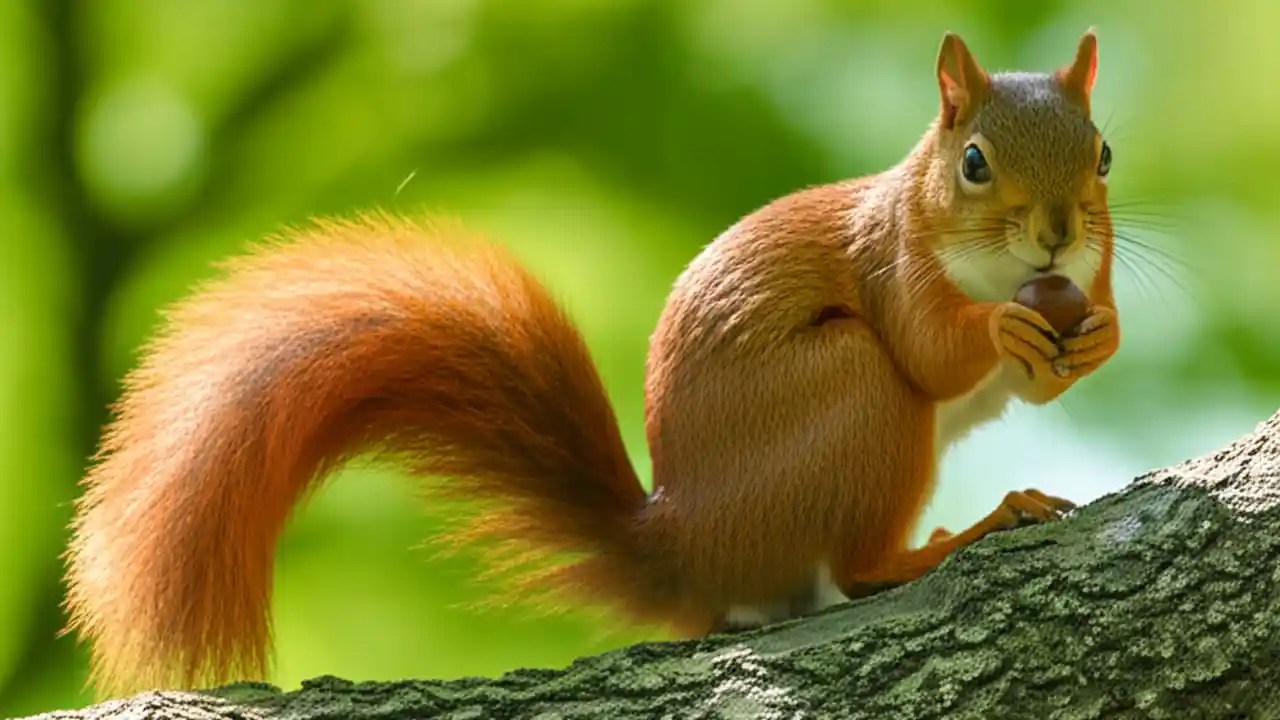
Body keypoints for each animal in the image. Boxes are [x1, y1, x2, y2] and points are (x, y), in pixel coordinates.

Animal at [66, 30, 1119, 695]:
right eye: (974, 163)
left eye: (1103, 153)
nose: (1058, 236)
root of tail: (687, 546)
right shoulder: (892, 264)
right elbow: (932, 353)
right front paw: (998, 330)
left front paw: (1098, 332)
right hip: (852, 394)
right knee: (860, 565)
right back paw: (957, 536)